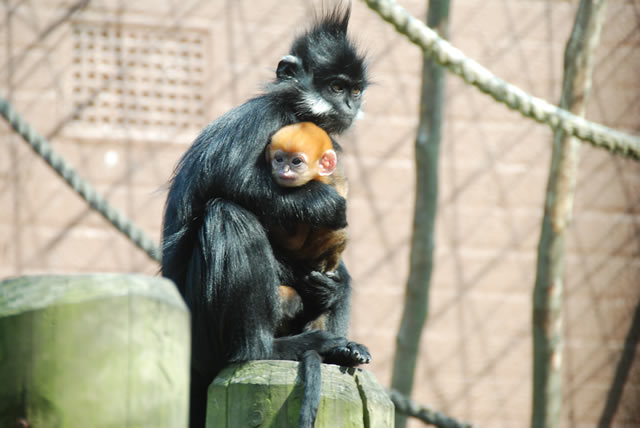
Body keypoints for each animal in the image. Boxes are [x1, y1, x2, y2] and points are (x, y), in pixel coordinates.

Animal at [161, 5, 370, 428]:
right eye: (335, 88)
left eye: (355, 91)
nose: (349, 106)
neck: (295, 110)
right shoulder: (262, 117)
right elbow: (228, 176)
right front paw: (322, 202)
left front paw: (328, 290)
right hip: (204, 334)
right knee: (227, 214)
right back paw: (265, 348)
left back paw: (341, 347)